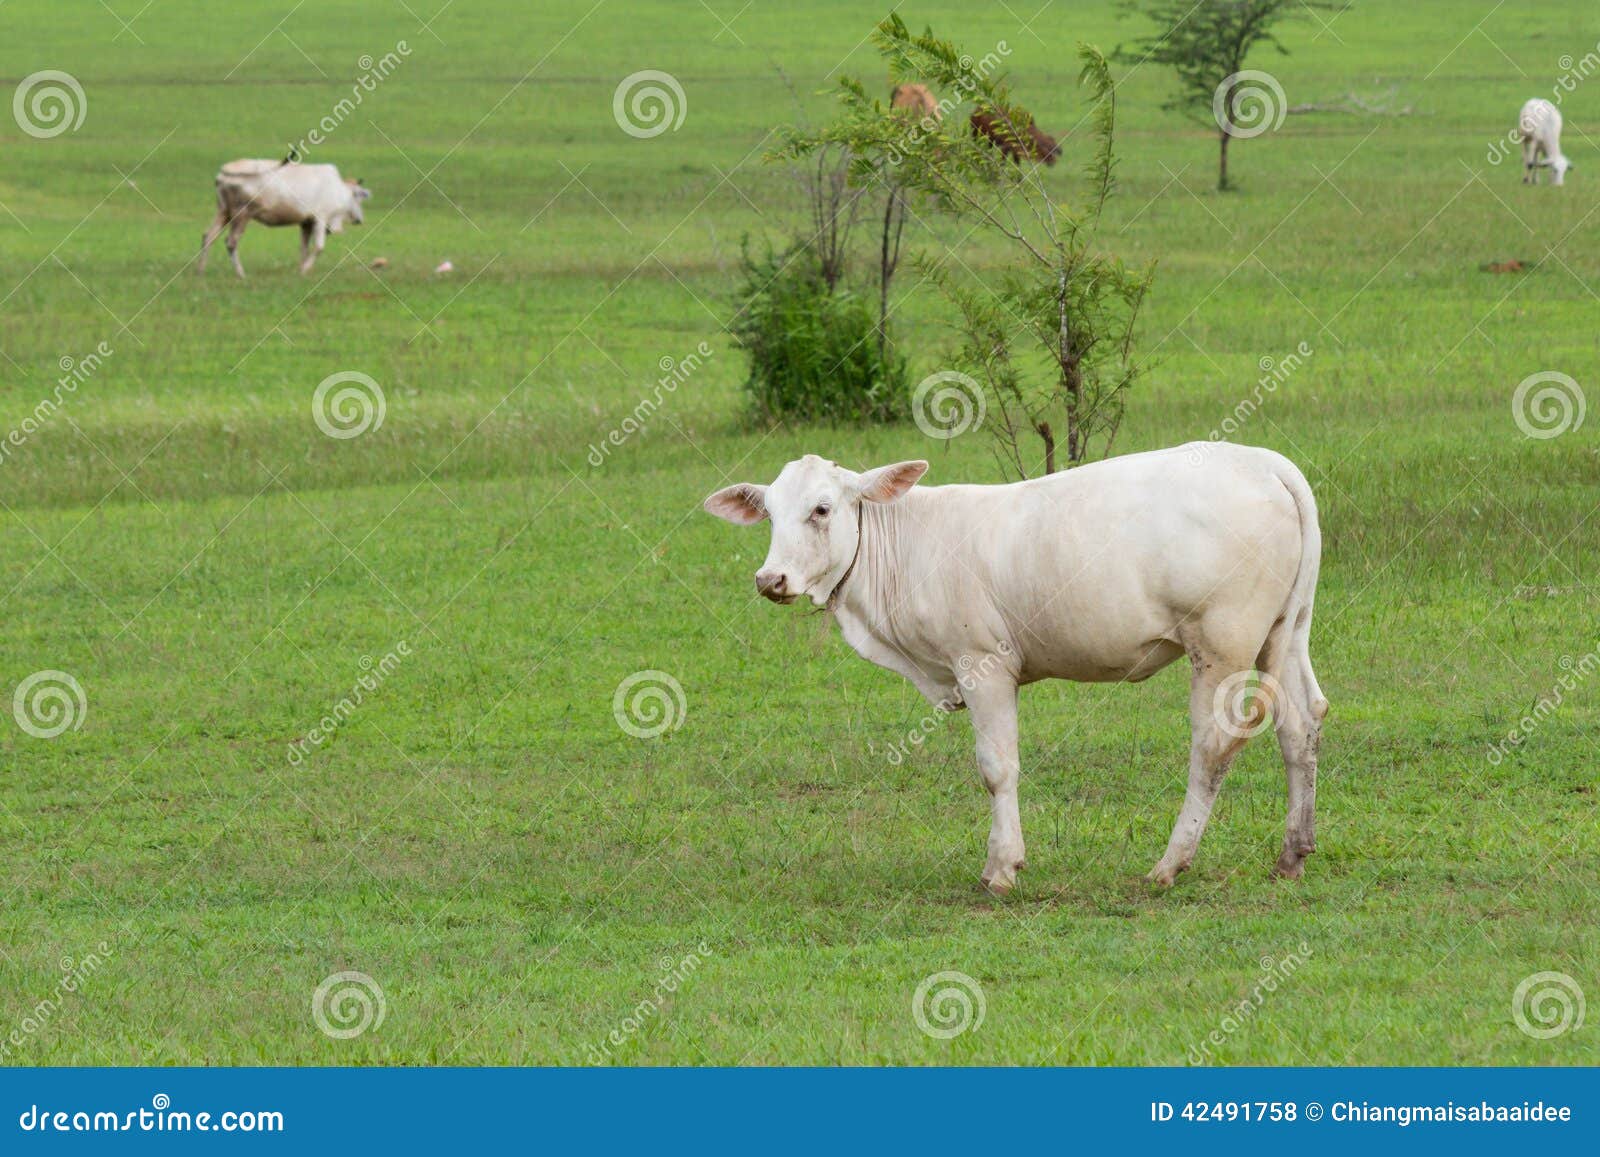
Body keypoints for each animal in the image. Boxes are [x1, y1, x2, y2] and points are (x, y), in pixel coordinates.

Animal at [198, 159, 371, 277]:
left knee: (208, 236)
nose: (359, 219)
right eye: (358, 196)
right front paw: (306, 269)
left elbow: (304, 247)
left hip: (224, 212)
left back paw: (200, 270)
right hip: (242, 215)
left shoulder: (306, 223)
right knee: (231, 242)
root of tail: (225, 172)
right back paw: (241, 274)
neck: (339, 189)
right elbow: (319, 247)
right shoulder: (320, 219)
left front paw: (301, 269)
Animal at [703, 443, 1328, 895]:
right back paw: (1291, 853)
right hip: (1284, 633)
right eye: (769, 514)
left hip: (1221, 644)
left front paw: (1001, 868)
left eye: (822, 509)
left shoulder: (982, 664)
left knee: (1213, 747)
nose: (770, 579)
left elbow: (997, 768)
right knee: (1301, 726)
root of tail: (1263, 461)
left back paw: (1170, 864)